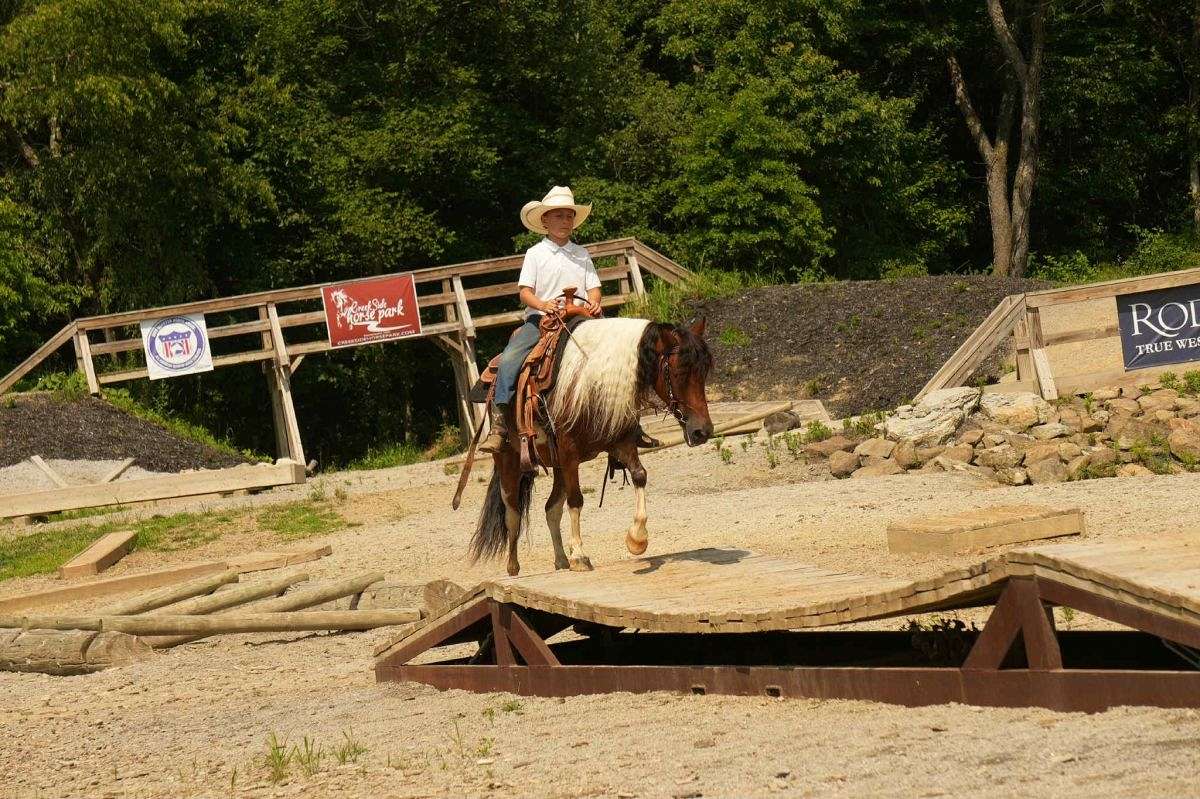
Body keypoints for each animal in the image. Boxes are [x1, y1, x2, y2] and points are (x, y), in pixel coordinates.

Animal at [470, 316, 714, 576]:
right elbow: (576, 501)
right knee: (513, 514)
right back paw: (514, 566)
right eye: (679, 372)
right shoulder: (569, 453)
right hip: (510, 462)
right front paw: (580, 555)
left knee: (551, 509)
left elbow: (639, 475)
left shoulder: (621, 443)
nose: (702, 431)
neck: (590, 381)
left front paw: (637, 540)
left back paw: (561, 560)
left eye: (704, 371)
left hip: (557, 466)